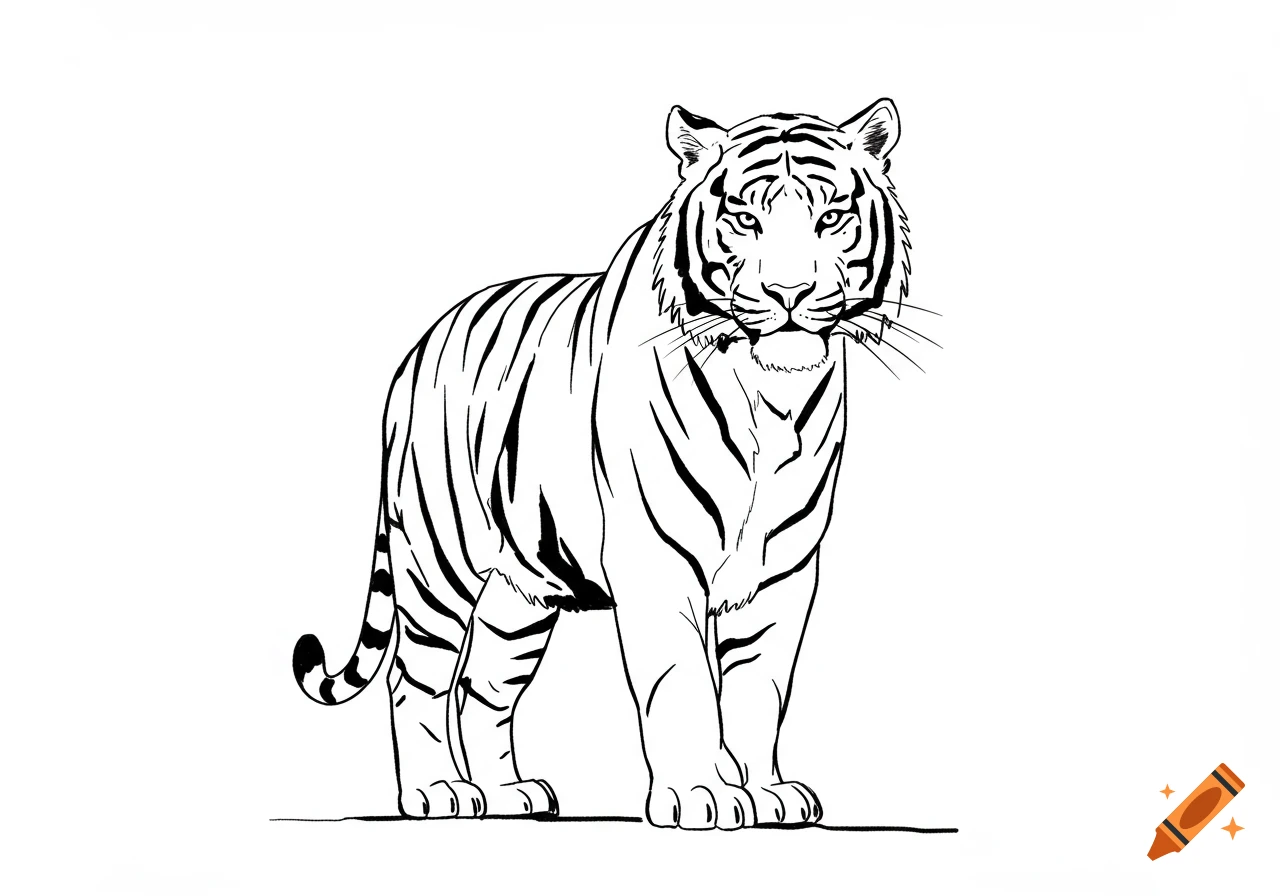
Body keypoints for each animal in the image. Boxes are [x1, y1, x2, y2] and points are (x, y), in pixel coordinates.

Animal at [292, 99, 915, 829]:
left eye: (831, 217)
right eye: (745, 219)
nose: (788, 293)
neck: (771, 396)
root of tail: (415, 351)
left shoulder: (783, 573)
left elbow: (759, 688)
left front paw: (766, 792)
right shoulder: (658, 560)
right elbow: (680, 684)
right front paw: (698, 796)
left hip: (522, 590)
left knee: (483, 684)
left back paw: (510, 794)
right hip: (439, 560)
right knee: (414, 677)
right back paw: (437, 791)